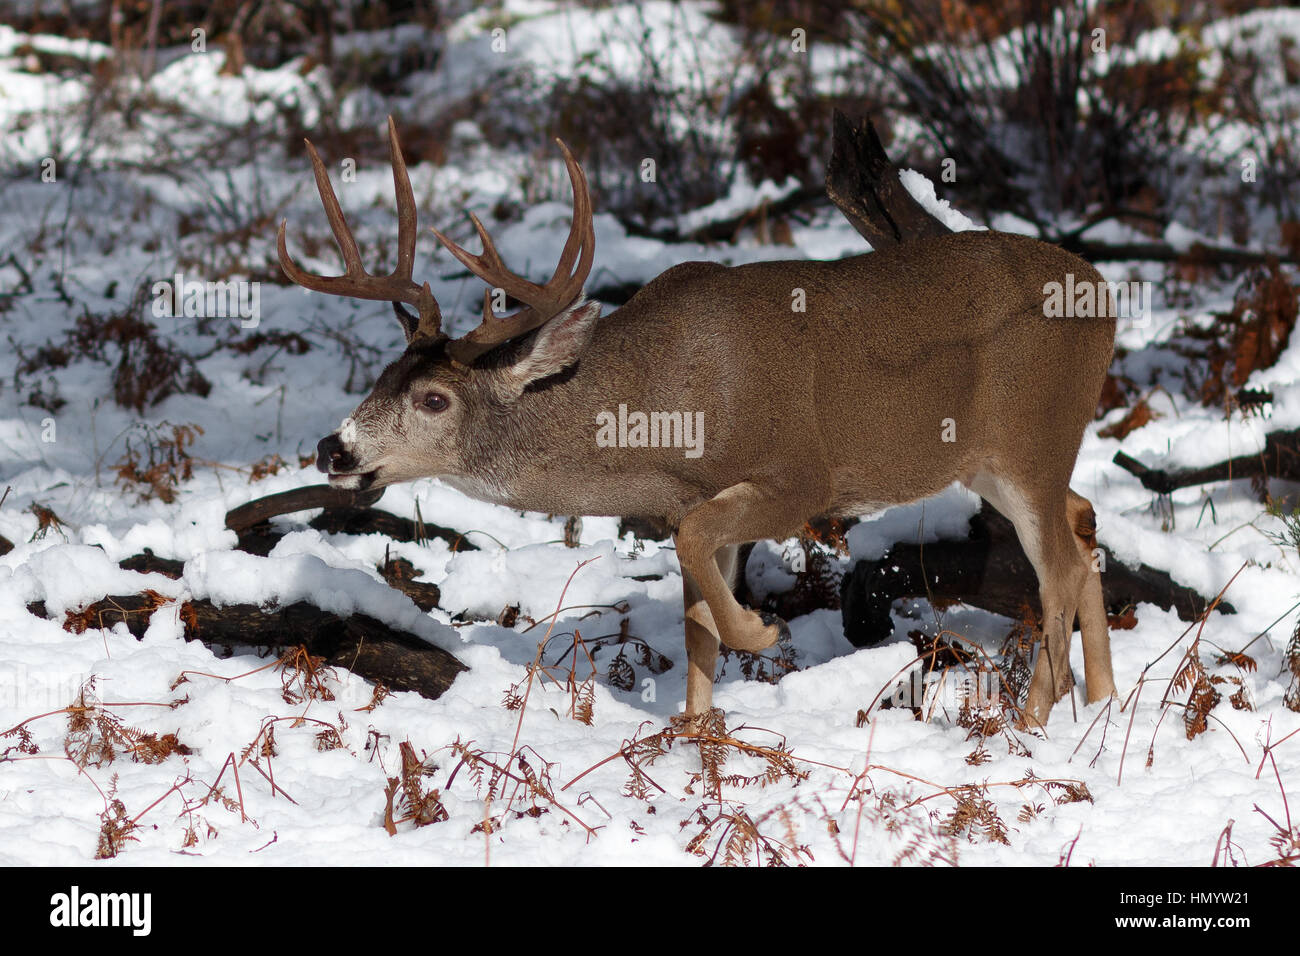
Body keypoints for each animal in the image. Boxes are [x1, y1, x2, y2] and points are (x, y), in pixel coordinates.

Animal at [277, 117, 1118, 729]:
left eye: (434, 399)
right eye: (380, 378)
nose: (332, 447)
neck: (658, 418)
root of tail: (1106, 295)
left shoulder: (800, 476)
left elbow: (700, 565)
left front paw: (763, 635)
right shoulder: (692, 500)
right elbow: (693, 620)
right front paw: (693, 733)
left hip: (1032, 438)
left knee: (1058, 566)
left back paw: (1035, 722)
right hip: (1004, 460)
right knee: (1083, 526)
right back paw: (1102, 701)